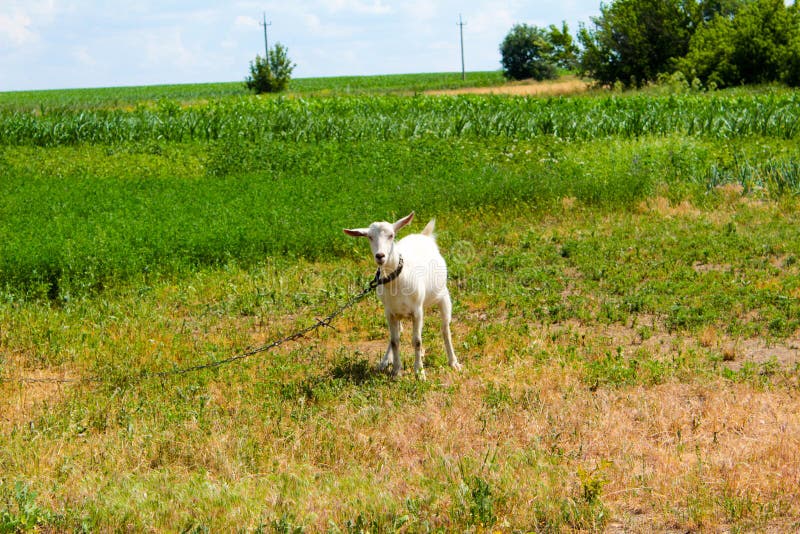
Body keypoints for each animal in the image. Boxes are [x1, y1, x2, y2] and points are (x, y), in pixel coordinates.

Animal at [344, 211, 461, 379]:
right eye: (369, 237)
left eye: (391, 235)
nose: (380, 256)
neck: (397, 279)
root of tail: (423, 235)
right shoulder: (390, 312)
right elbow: (395, 341)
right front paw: (396, 371)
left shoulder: (417, 311)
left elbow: (417, 341)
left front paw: (419, 372)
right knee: (397, 334)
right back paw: (385, 361)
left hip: (443, 297)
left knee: (445, 329)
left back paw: (453, 362)